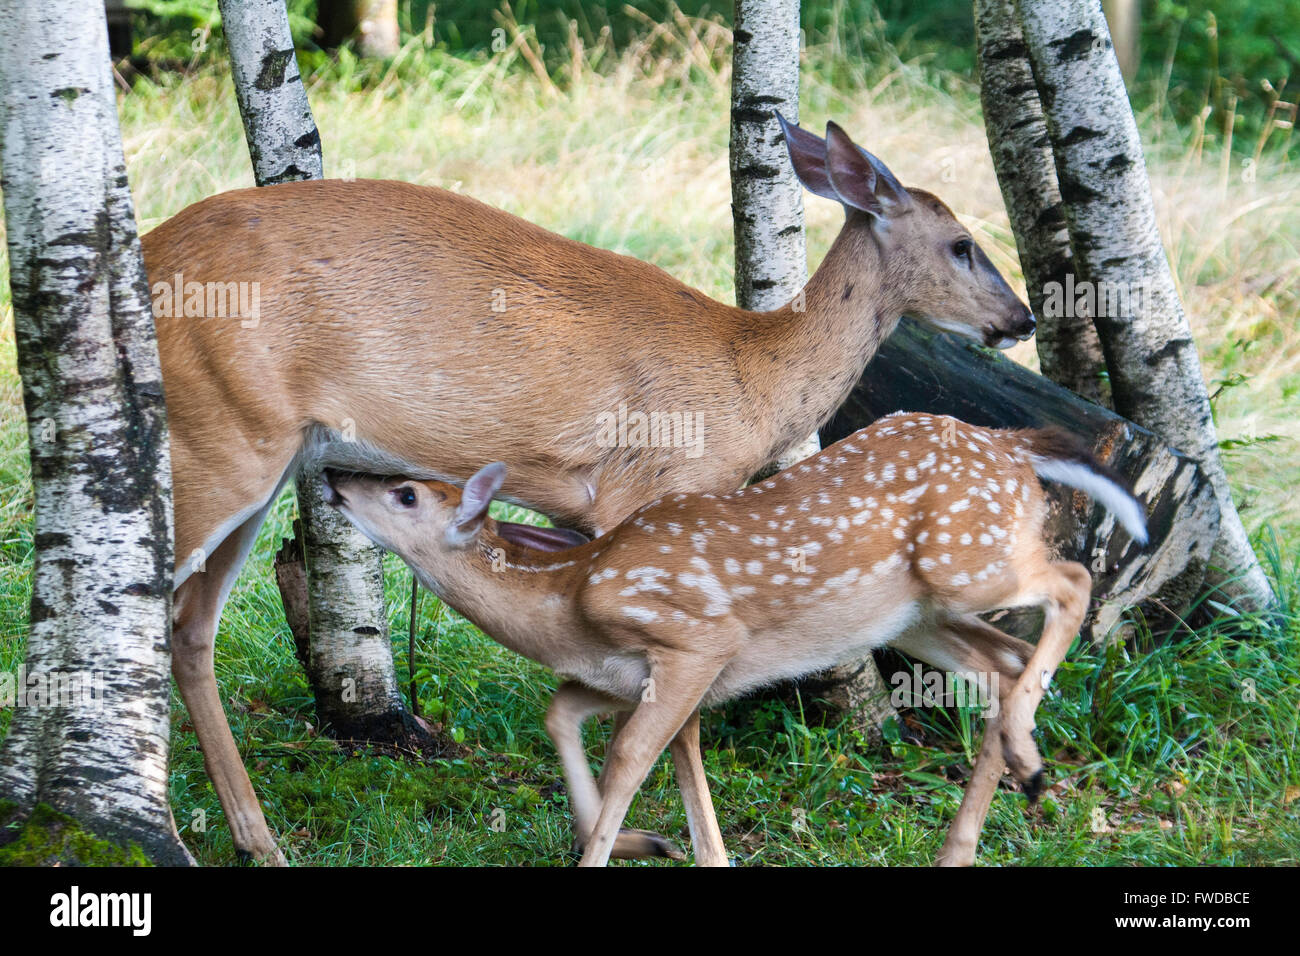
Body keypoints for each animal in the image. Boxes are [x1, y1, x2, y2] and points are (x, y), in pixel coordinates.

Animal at [141, 115, 1036, 864]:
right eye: (961, 243)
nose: (1022, 319)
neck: (752, 375)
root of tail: (142, 254)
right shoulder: (646, 497)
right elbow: (680, 727)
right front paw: (696, 849)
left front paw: (627, 833)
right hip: (215, 439)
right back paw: (173, 836)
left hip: (257, 458)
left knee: (190, 628)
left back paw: (257, 841)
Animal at [321, 412, 1147, 866]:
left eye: (406, 494)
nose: (333, 478)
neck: (568, 602)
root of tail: (1010, 444)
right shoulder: (633, 676)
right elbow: (571, 717)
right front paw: (659, 845)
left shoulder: (698, 640)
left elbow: (630, 759)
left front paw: (613, 850)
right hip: (924, 615)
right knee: (1004, 662)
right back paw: (983, 818)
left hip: (966, 564)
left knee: (1073, 581)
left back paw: (1027, 770)